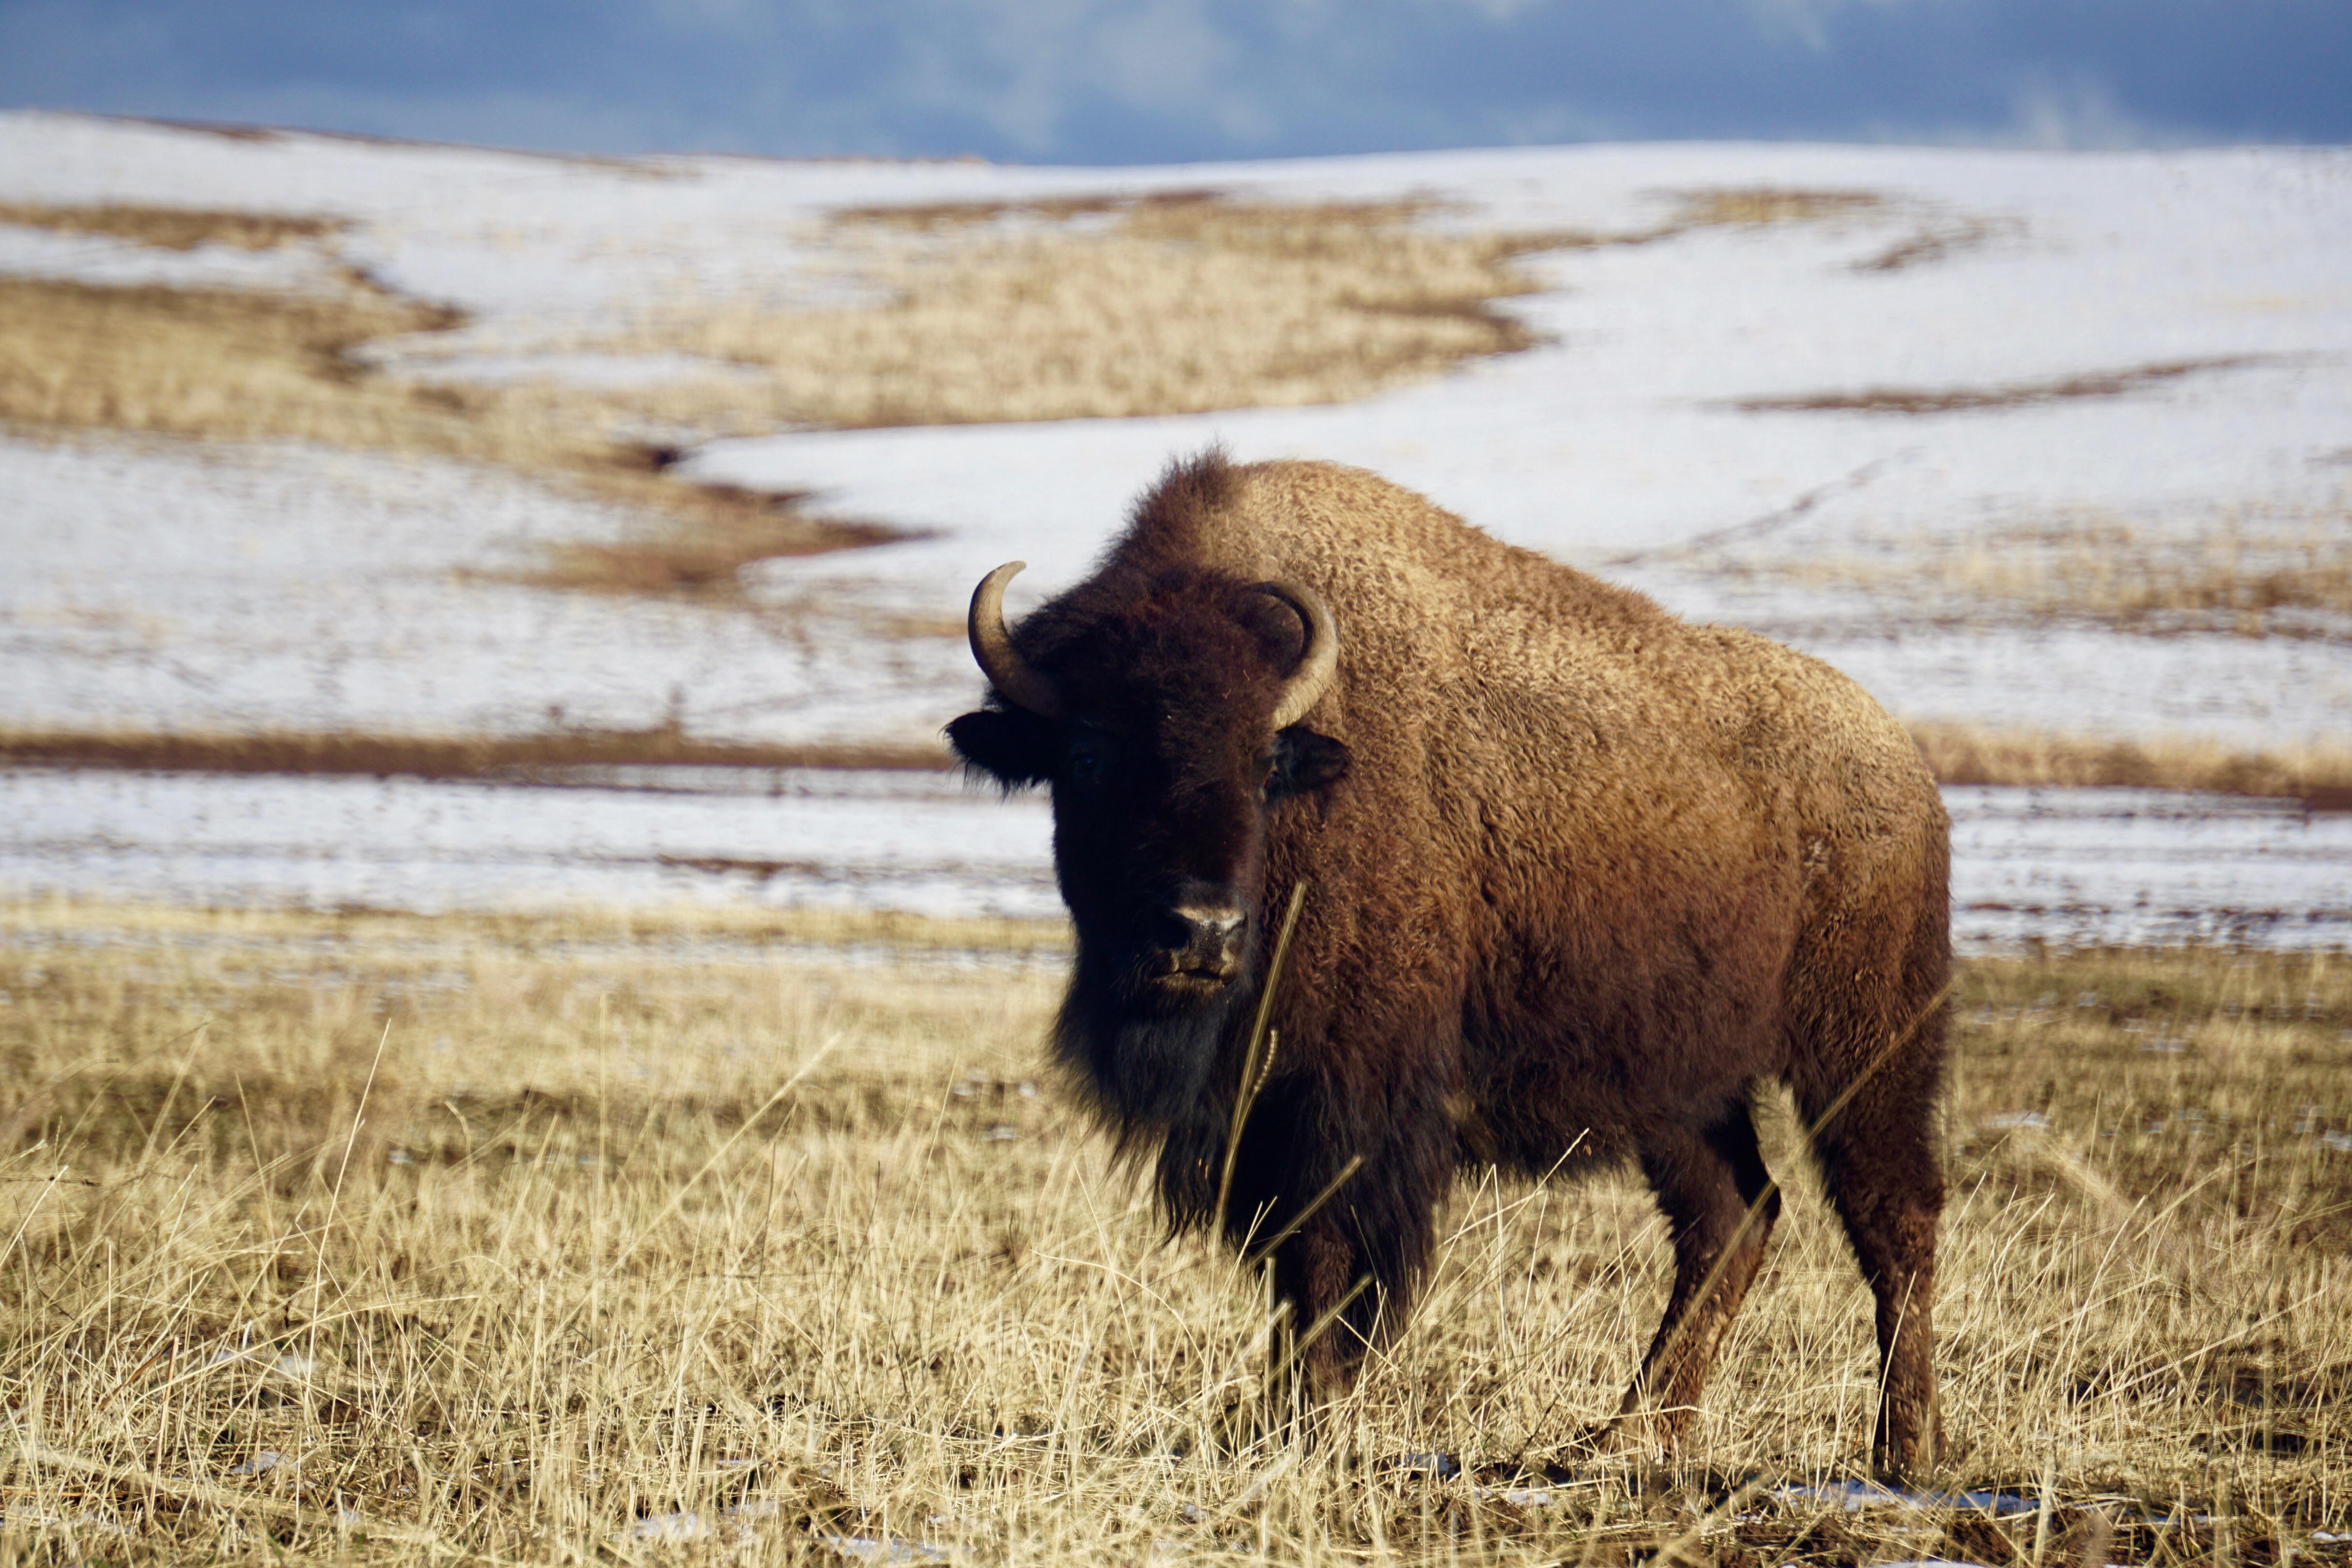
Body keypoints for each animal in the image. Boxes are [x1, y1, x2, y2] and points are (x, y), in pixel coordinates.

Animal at [947, 452, 1950, 1473]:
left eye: (1263, 761)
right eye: (1088, 755)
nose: (1201, 931)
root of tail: (1903, 765)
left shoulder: (1348, 1104)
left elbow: (1326, 1264)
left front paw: (1306, 1422)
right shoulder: (1265, 1111)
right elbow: (1292, 1269)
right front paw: (1279, 1421)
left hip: (1862, 1053)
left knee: (1893, 1220)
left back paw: (1903, 1449)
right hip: (1682, 1091)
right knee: (1732, 1217)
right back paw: (1625, 1435)